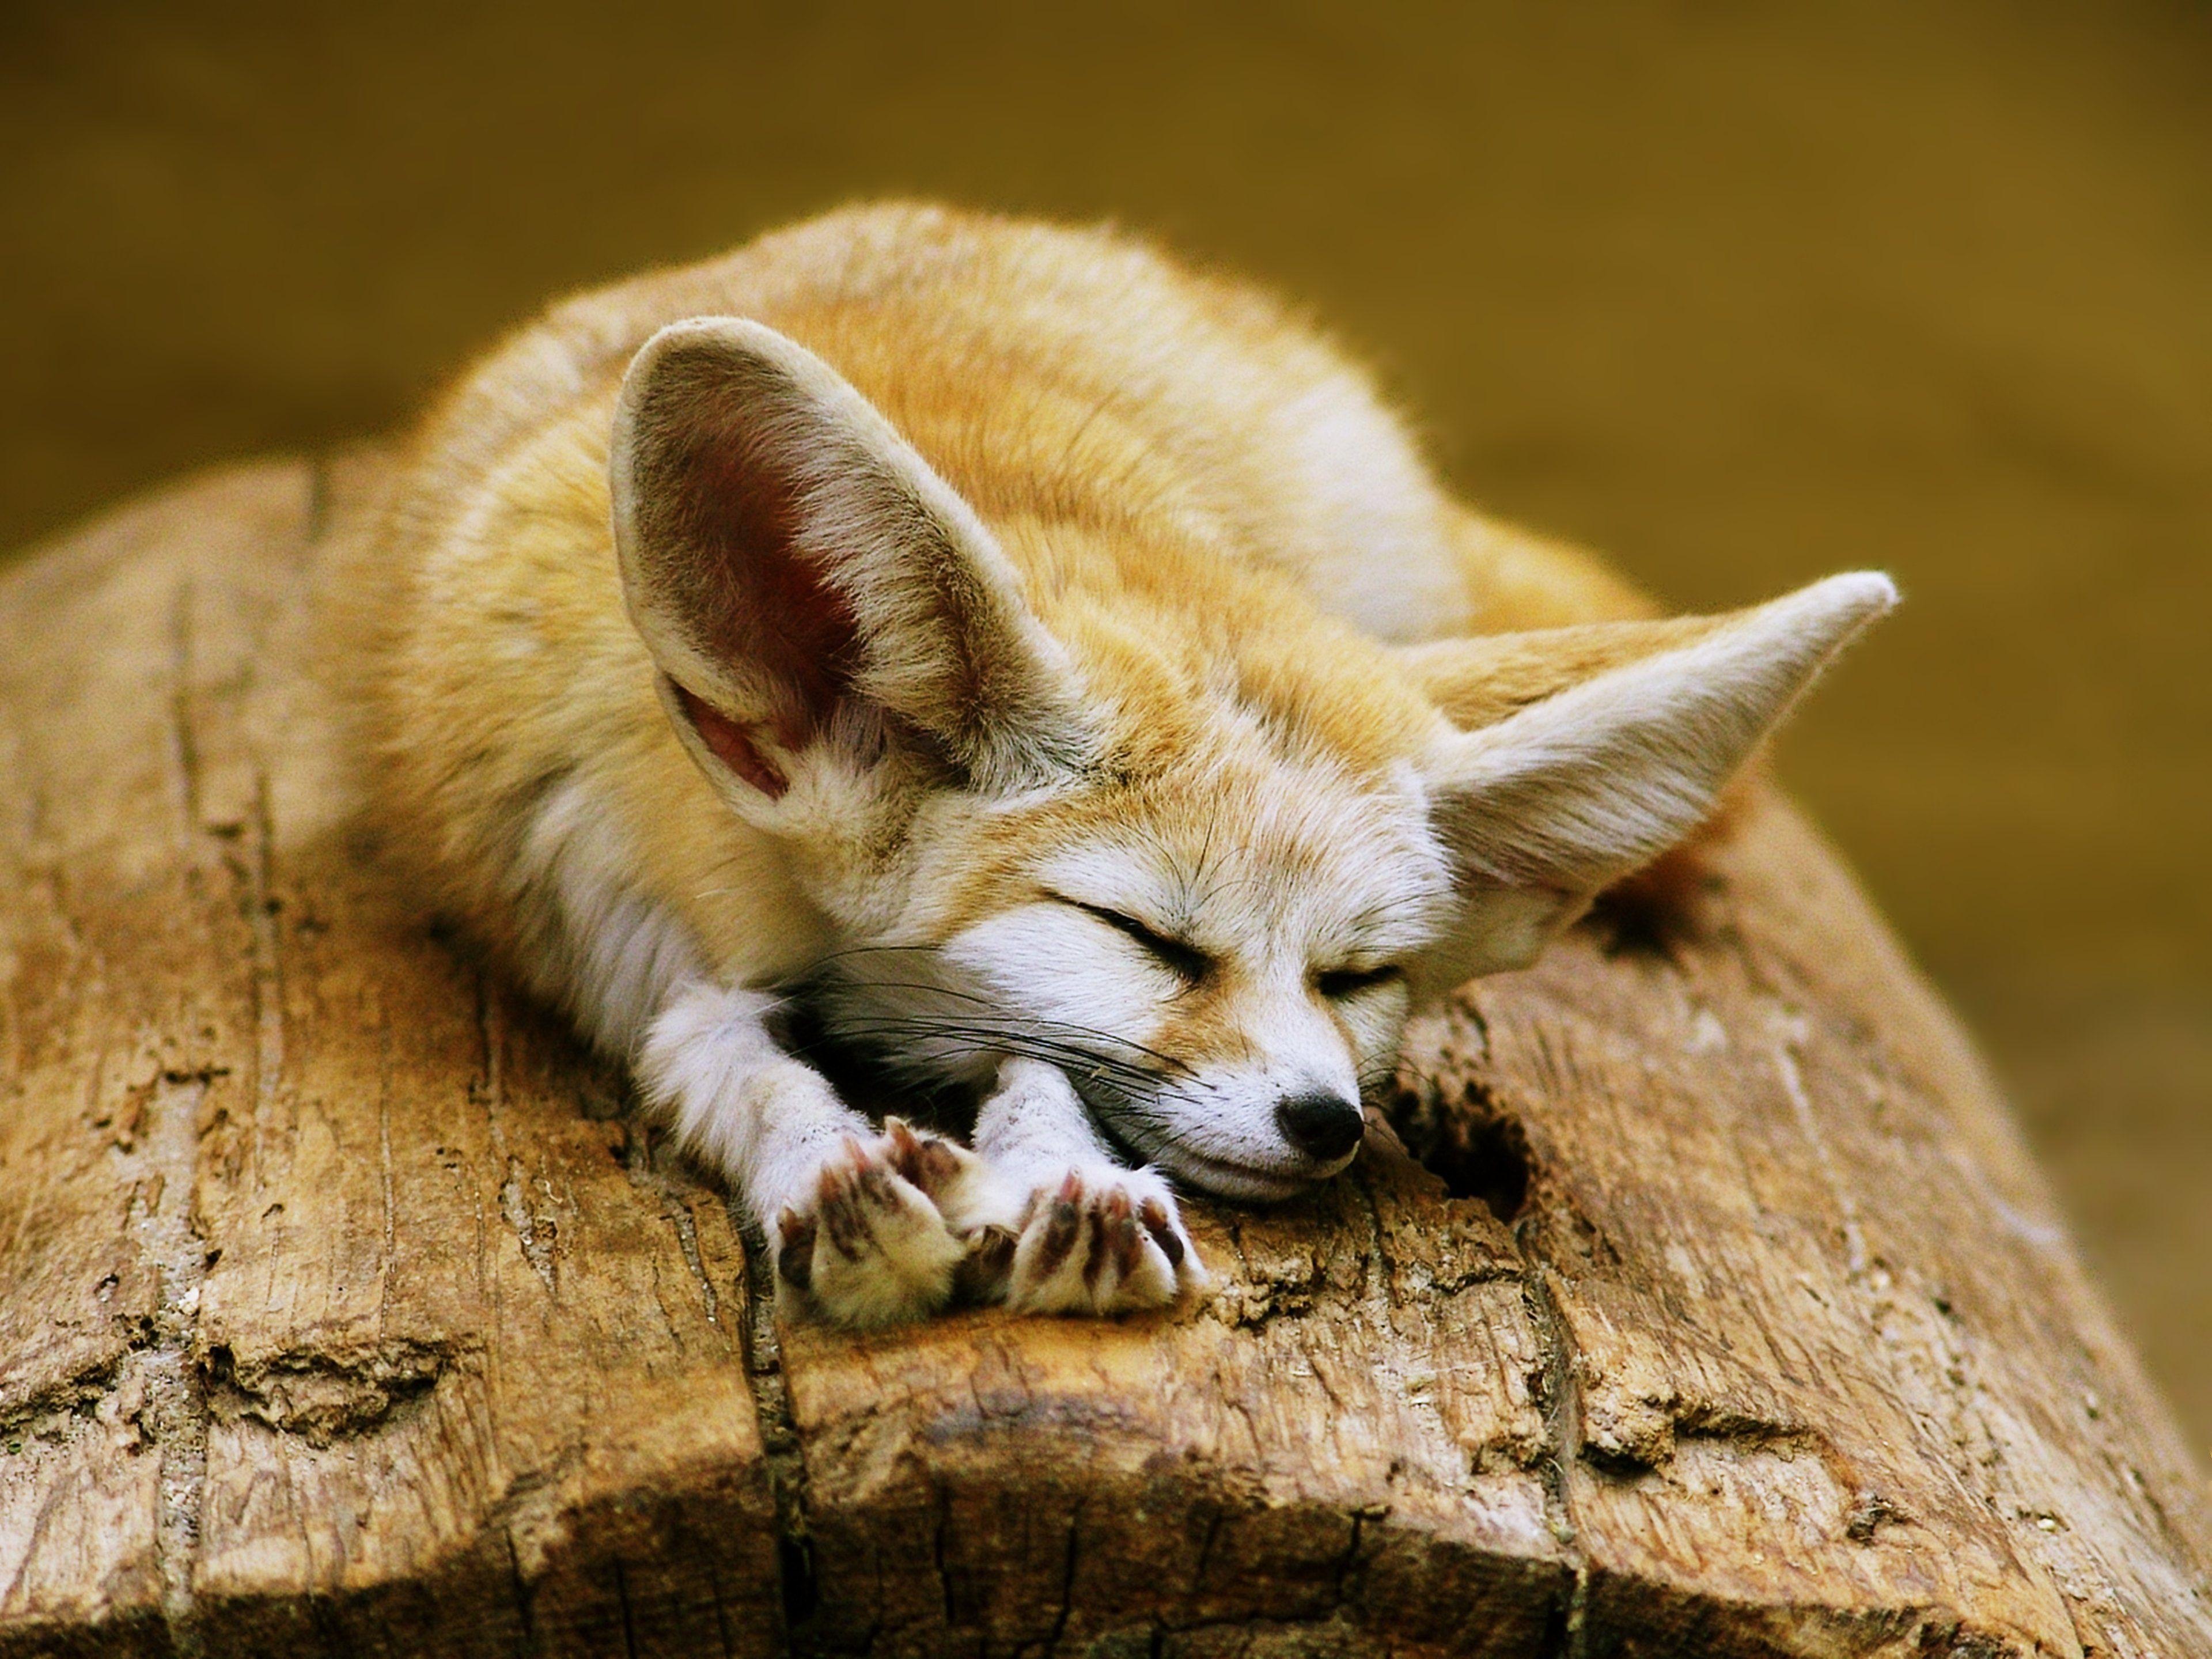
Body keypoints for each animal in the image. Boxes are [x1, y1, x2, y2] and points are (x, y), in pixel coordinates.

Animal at [332, 202, 1893, 1329]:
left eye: (1361, 977)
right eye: (1146, 938)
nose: (1326, 1119)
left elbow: (1046, 1060)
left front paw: (1066, 1179)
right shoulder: (605, 918)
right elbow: (711, 1049)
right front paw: (833, 1175)